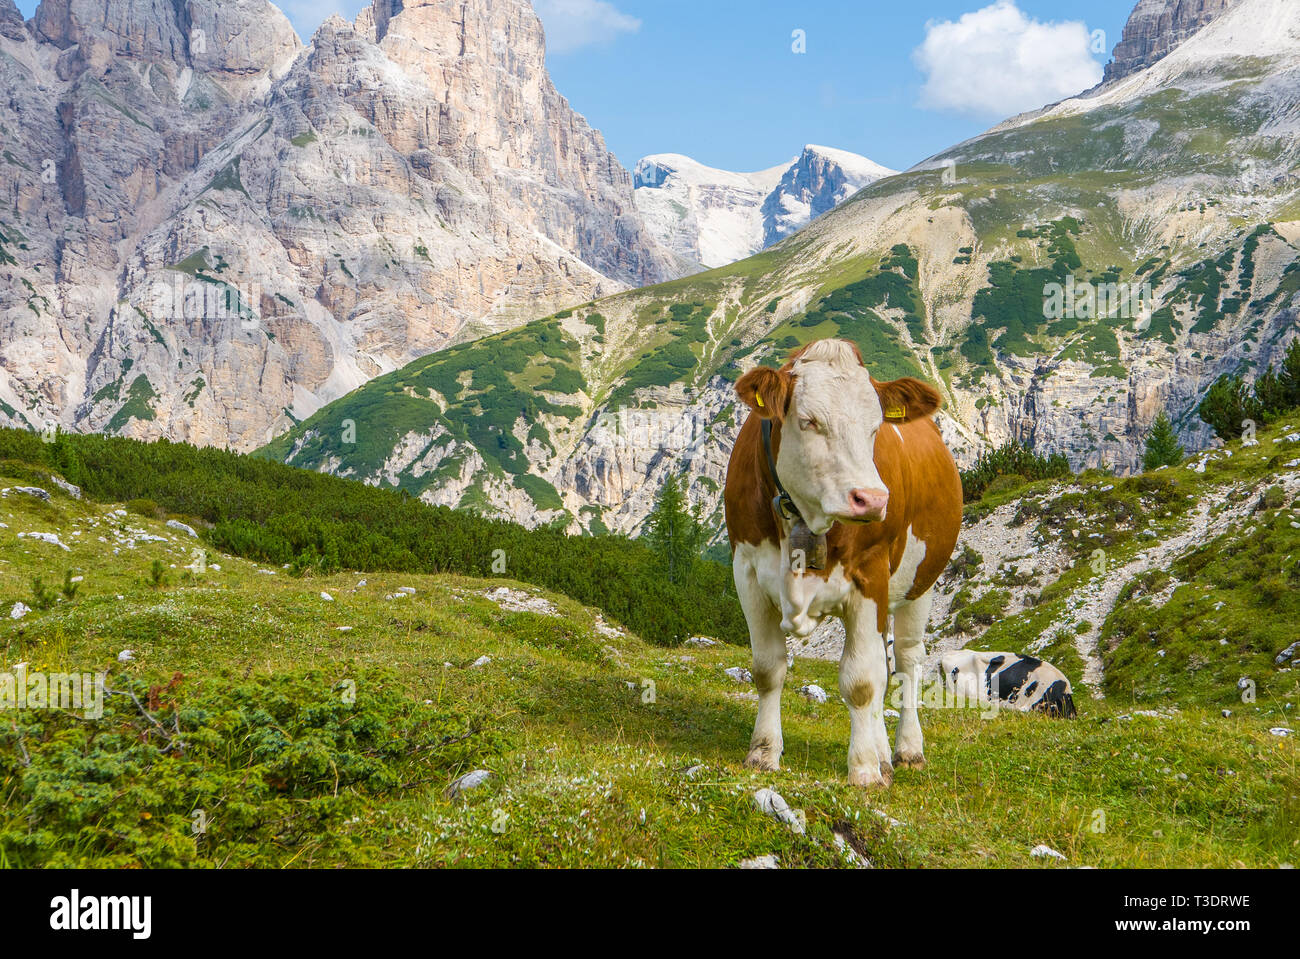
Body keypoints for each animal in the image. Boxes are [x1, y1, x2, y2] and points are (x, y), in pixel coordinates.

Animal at [725, 338, 962, 788]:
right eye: (808, 421)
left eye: (876, 427)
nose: (871, 499)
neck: (806, 518)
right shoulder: (746, 571)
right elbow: (767, 669)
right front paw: (763, 752)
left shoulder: (870, 578)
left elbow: (862, 681)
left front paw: (865, 769)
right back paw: (885, 752)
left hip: (920, 582)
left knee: (906, 662)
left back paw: (906, 750)